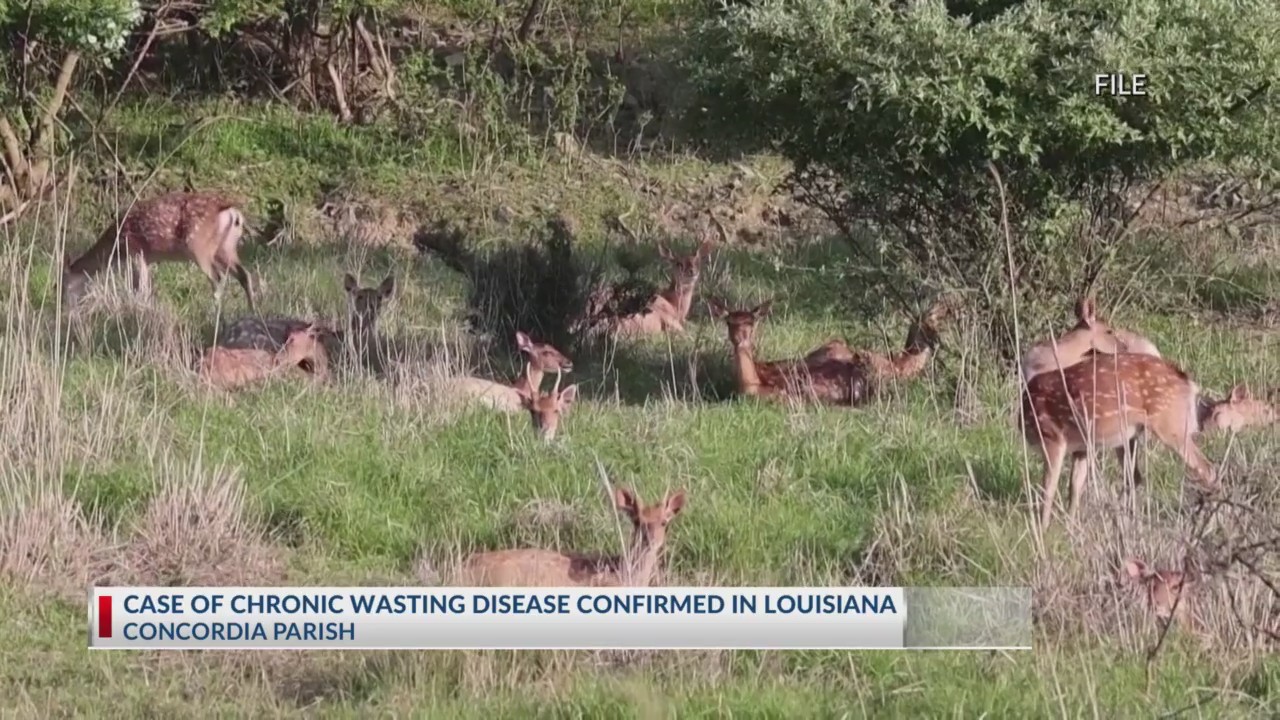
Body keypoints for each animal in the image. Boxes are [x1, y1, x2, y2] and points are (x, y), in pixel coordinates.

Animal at [61, 191, 255, 312]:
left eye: (61, 284)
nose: (64, 307)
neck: (114, 247)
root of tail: (233, 213)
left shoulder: (135, 251)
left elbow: (140, 289)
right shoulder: (145, 258)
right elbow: (144, 287)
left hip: (199, 246)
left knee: (218, 278)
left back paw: (213, 312)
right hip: (226, 247)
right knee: (244, 274)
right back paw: (251, 310)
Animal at [1022, 351, 1222, 530]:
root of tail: (1190, 385)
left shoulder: (1051, 436)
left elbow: (1048, 487)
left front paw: (1043, 529)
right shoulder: (1083, 446)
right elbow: (1075, 486)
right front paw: (1070, 528)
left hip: (1171, 424)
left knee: (1207, 469)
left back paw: (1207, 524)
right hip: (1129, 436)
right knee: (1134, 477)